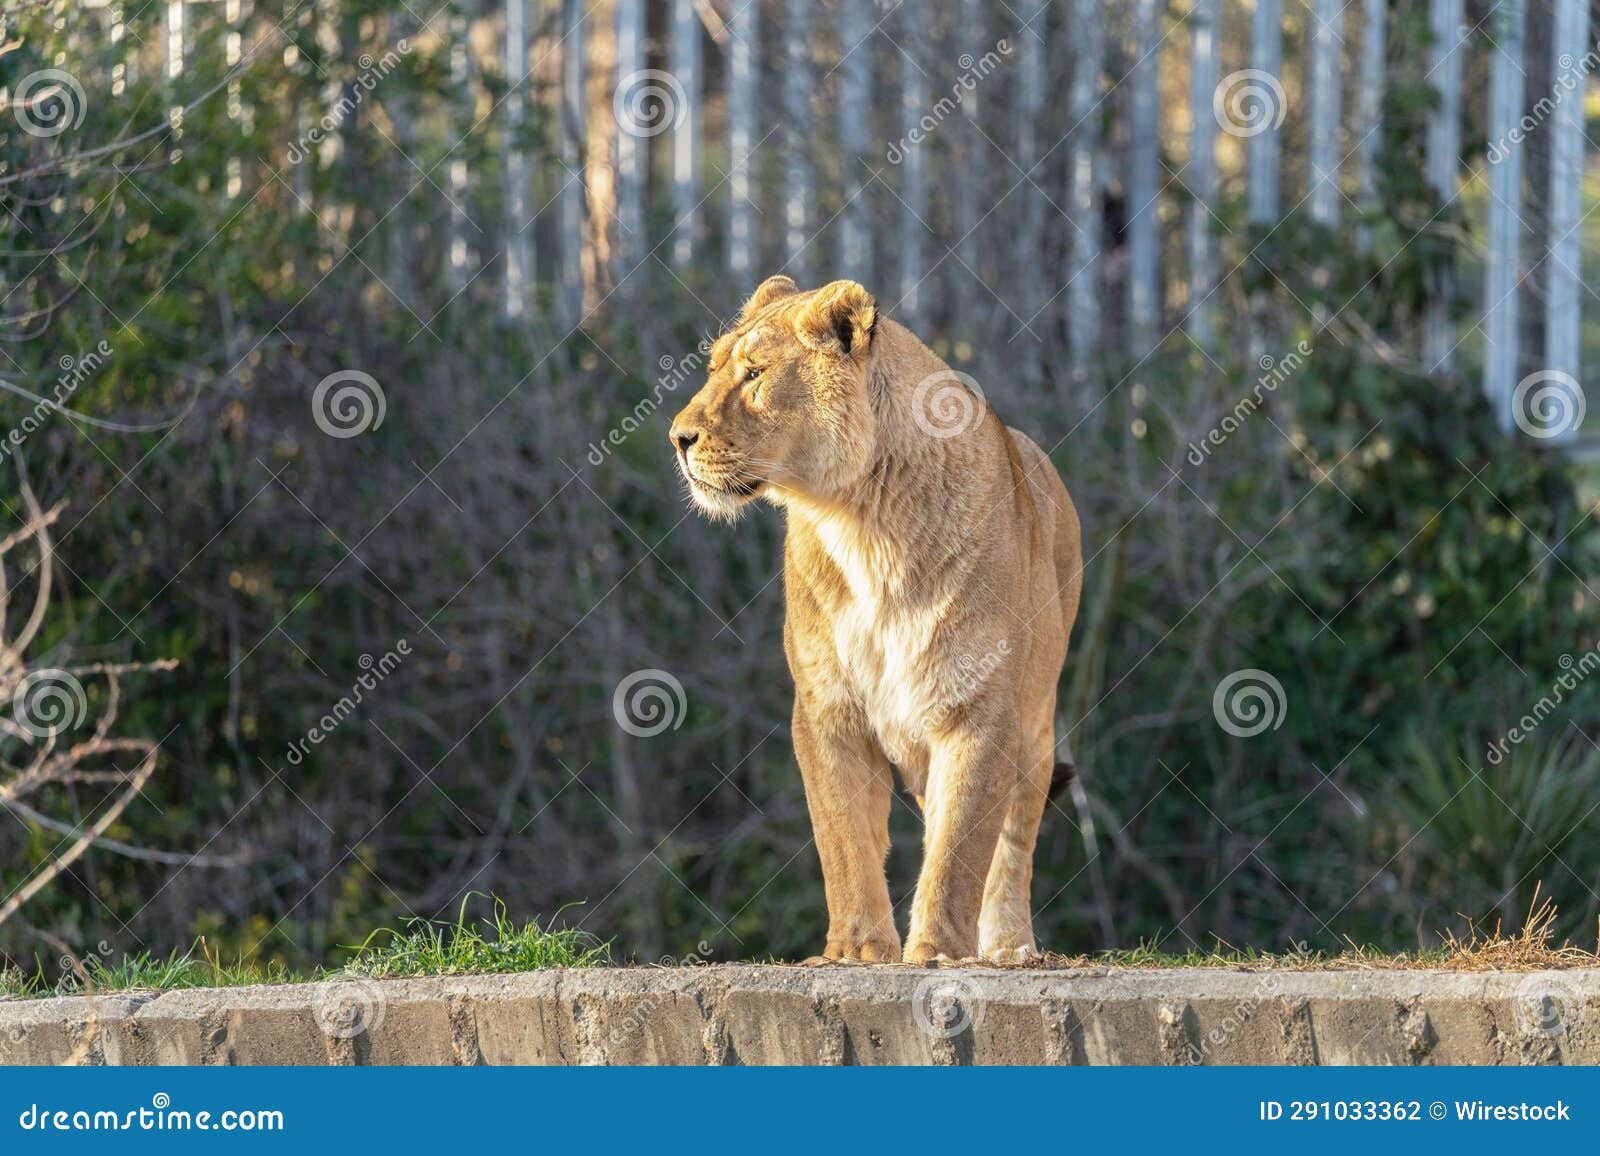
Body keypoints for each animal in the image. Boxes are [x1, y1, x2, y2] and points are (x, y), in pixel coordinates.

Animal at [668, 276, 1082, 964]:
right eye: (714, 369)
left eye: (754, 373)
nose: (677, 438)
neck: (862, 522)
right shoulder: (826, 708)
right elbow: (843, 838)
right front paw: (855, 950)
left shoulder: (979, 708)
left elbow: (960, 849)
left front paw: (937, 951)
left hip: (1036, 720)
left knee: (1011, 843)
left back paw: (1008, 947)